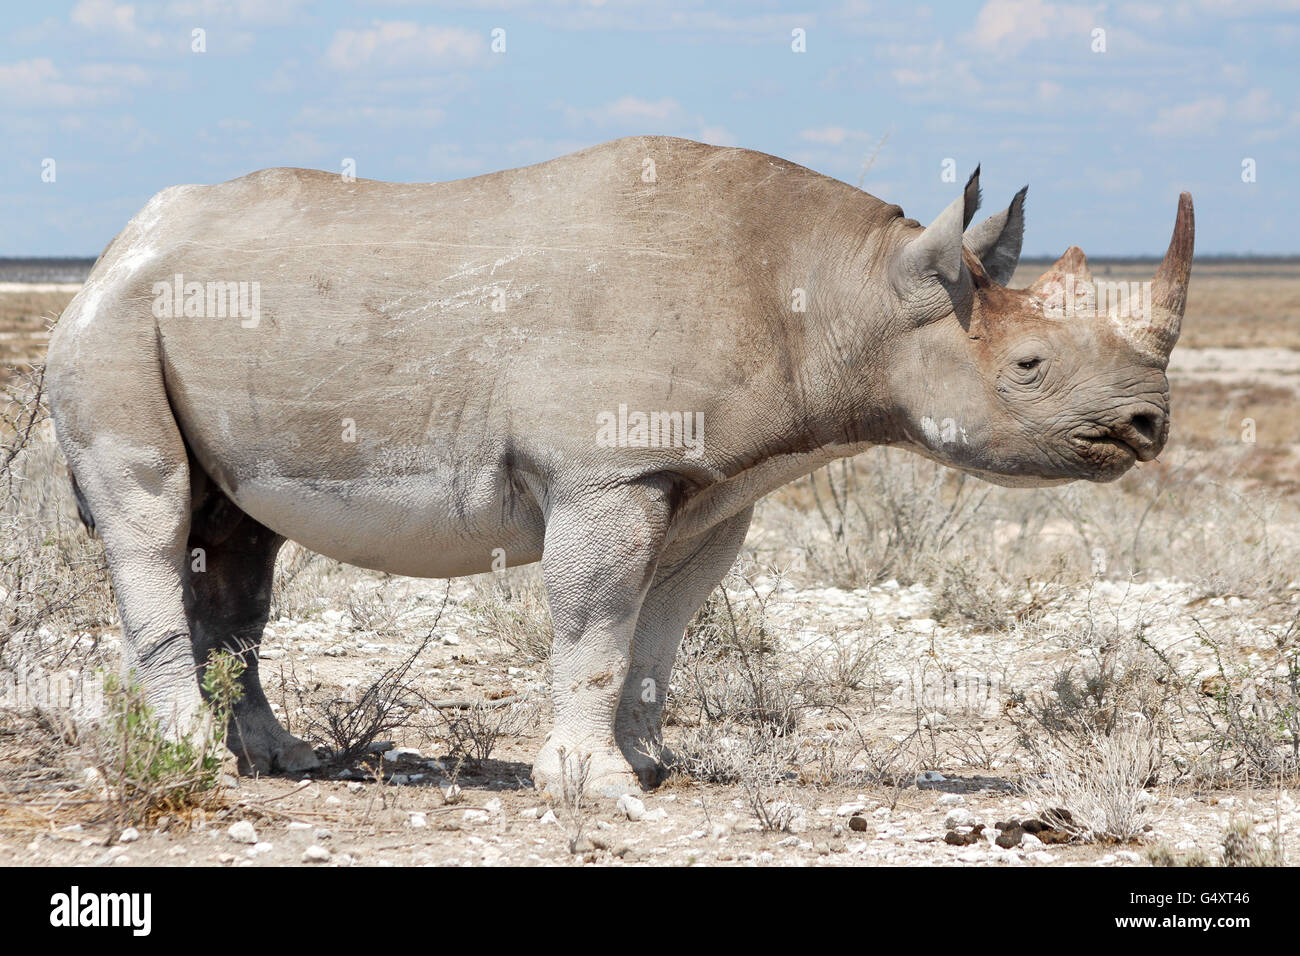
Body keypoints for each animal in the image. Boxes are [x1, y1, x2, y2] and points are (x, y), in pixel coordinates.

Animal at [44, 136, 1194, 796]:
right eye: (1031, 367)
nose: (1148, 425)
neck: (850, 289)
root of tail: (111, 250)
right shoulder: (609, 474)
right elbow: (596, 615)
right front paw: (592, 787)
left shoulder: (712, 485)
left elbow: (663, 620)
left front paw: (648, 765)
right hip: (115, 326)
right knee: (152, 517)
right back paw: (196, 763)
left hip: (194, 318)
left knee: (241, 540)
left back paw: (275, 761)